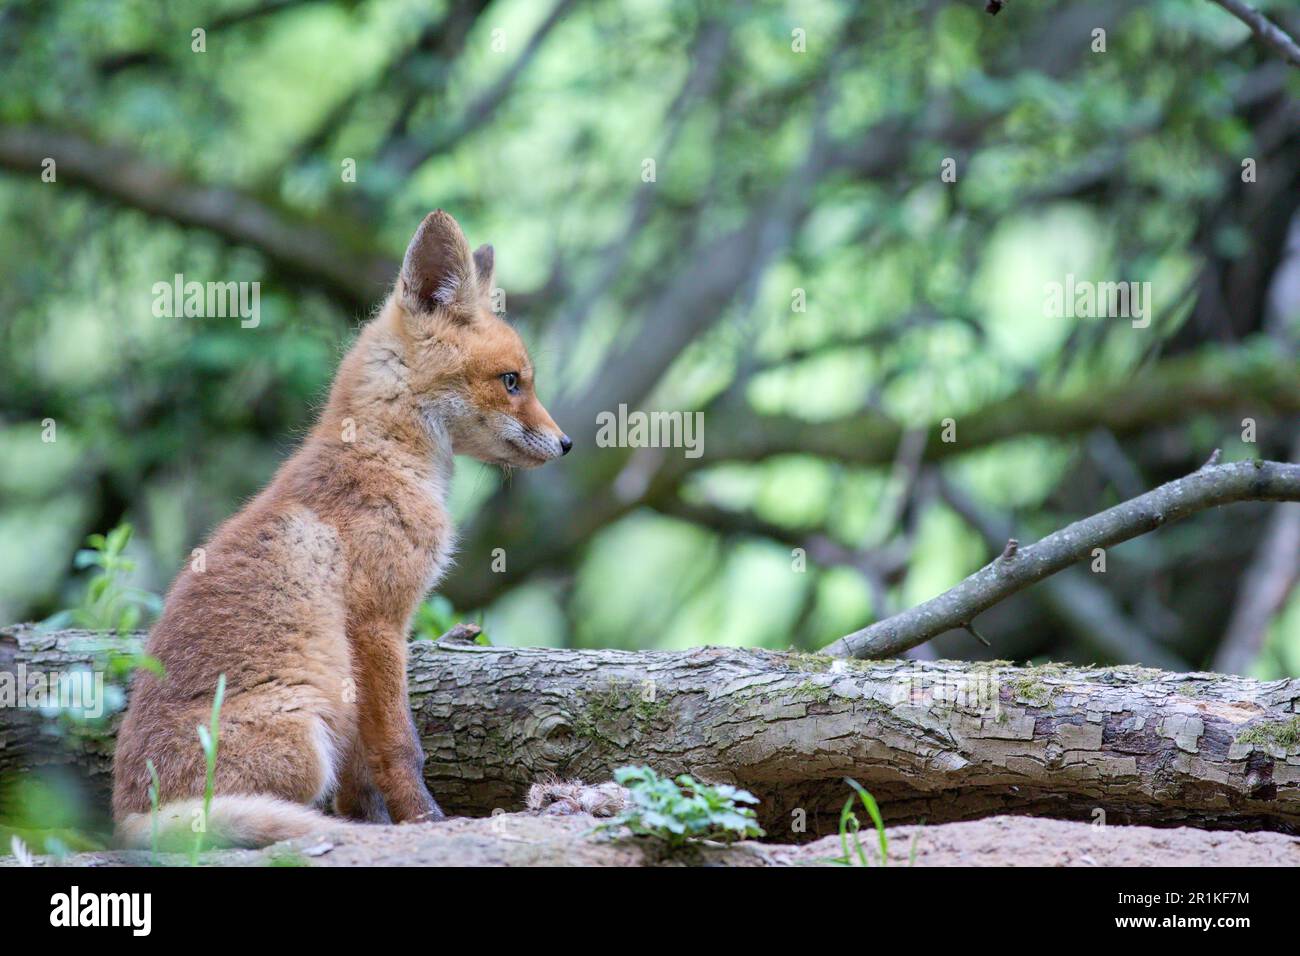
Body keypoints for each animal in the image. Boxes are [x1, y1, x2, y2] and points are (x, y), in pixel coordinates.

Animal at [111, 210, 571, 849]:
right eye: (511, 382)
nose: (567, 443)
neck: (384, 455)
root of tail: (128, 816)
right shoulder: (376, 622)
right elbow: (400, 750)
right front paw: (423, 820)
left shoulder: (363, 655)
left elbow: (361, 774)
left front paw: (372, 818)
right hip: (305, 732)